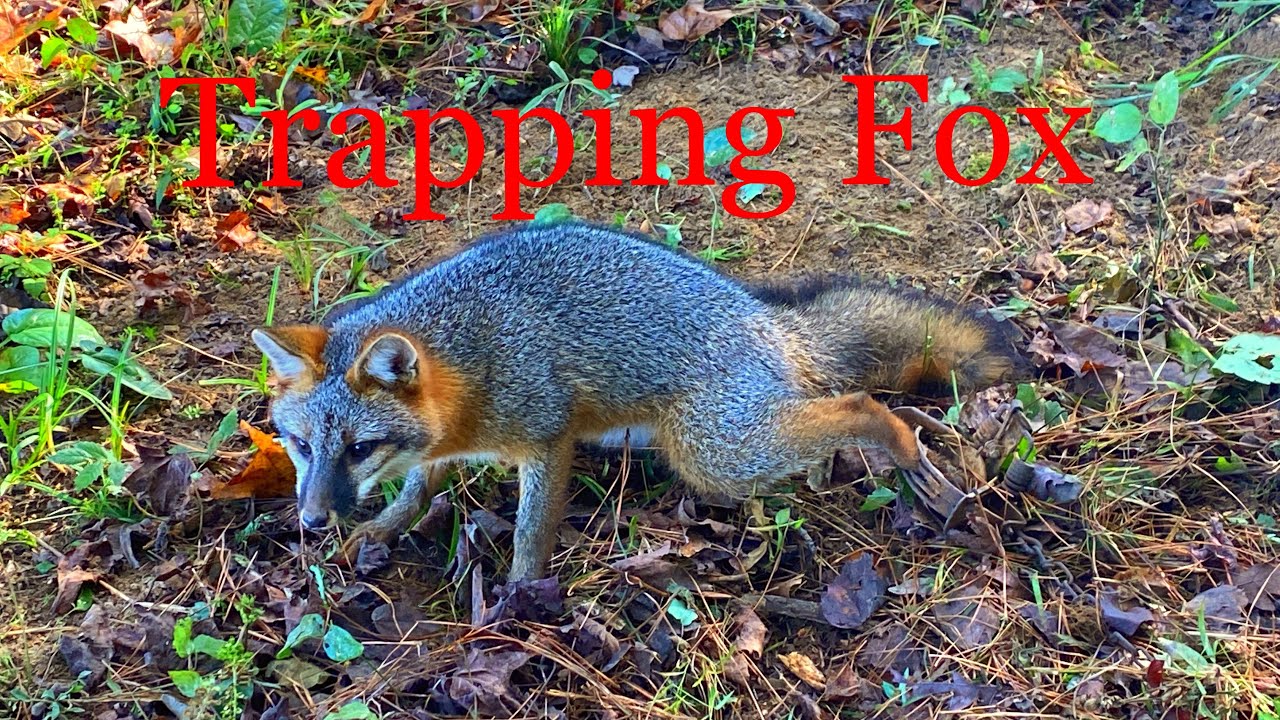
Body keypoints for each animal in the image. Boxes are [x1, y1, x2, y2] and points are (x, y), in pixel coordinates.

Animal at [251, 222, 1024, 581]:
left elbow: (531, 532)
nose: (312, 520)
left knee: (858, 402)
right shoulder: (442, 443)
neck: (472, 353)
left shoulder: (547, 437)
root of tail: (763, 317)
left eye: (358, 448)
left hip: (714, 453)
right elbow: (418, 485)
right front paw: (385, 525)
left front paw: (517, 601)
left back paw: (901, 444)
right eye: (300, 446)